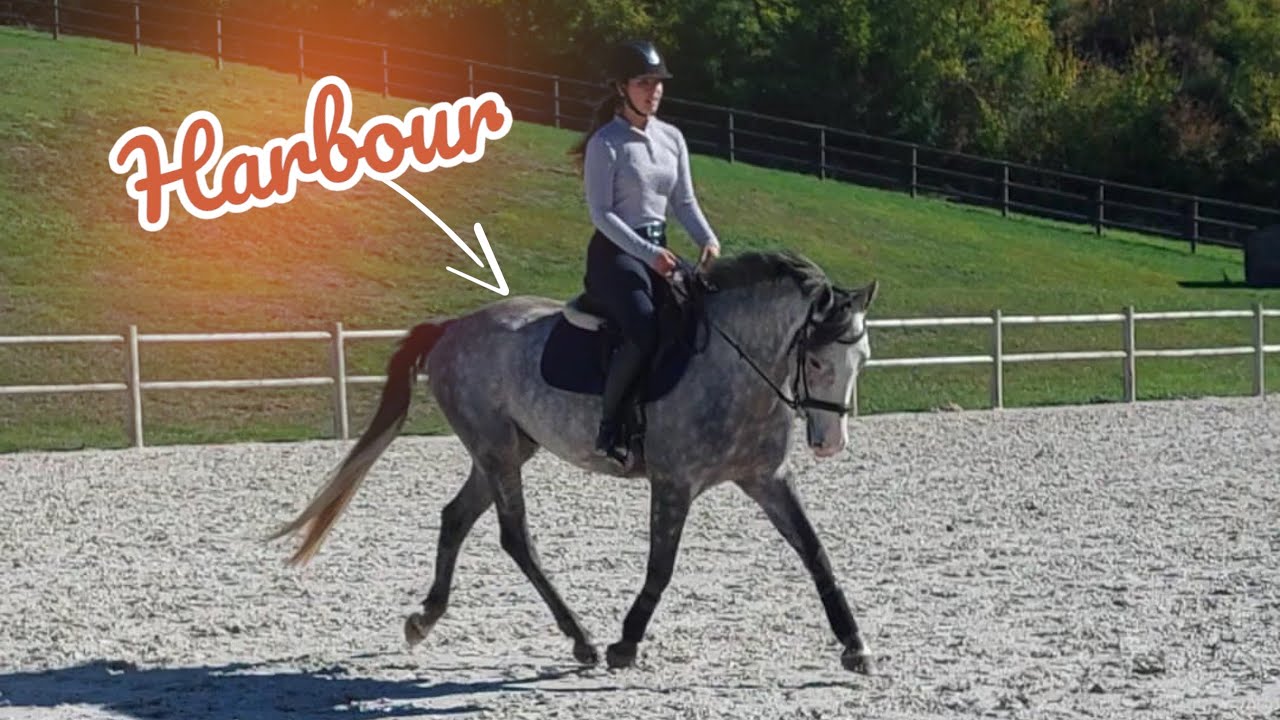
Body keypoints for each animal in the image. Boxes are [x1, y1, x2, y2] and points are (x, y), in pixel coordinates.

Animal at [269, 250, 879, 673]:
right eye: (818, 360)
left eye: (863, 358)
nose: (830, 443)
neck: (734, 366)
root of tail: (453, 327)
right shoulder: (674, 483)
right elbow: (661, 567)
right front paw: (625, 643)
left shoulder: (766, 479)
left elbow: (815, 551)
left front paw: (855, 646)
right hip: (496, 449)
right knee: (516, 538)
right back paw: (580, 638)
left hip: (506, 448)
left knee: (456, 518)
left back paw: (425, 619)